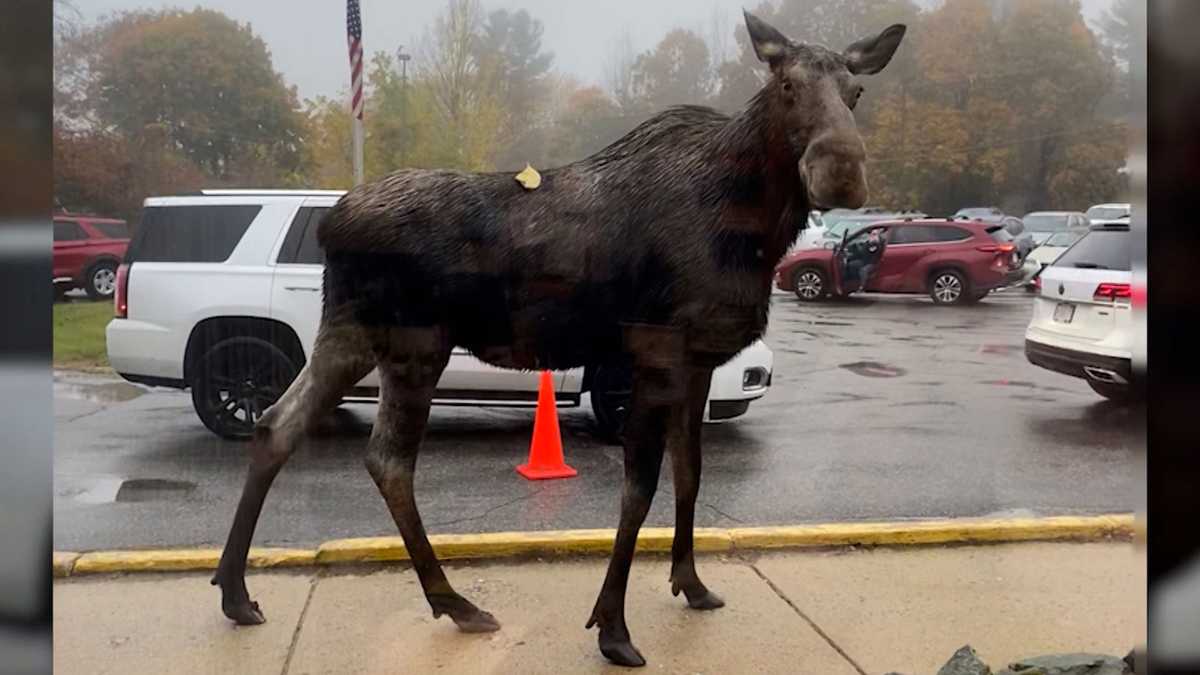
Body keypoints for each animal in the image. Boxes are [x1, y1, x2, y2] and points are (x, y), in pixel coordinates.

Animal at [211, 11, 905, 668]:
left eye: (857, 91)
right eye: (787, 85)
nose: (841, 172)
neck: (754, 230)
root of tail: (330, 224)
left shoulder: (699, 361)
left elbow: (691, 474)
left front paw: (692, 584)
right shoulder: (654, 353)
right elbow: (639, 488)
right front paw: (614, 630)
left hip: (348, 335)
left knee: (276, 425)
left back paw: (236, 592)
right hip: (415, 344)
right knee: (387, 460)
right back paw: (455, 603)